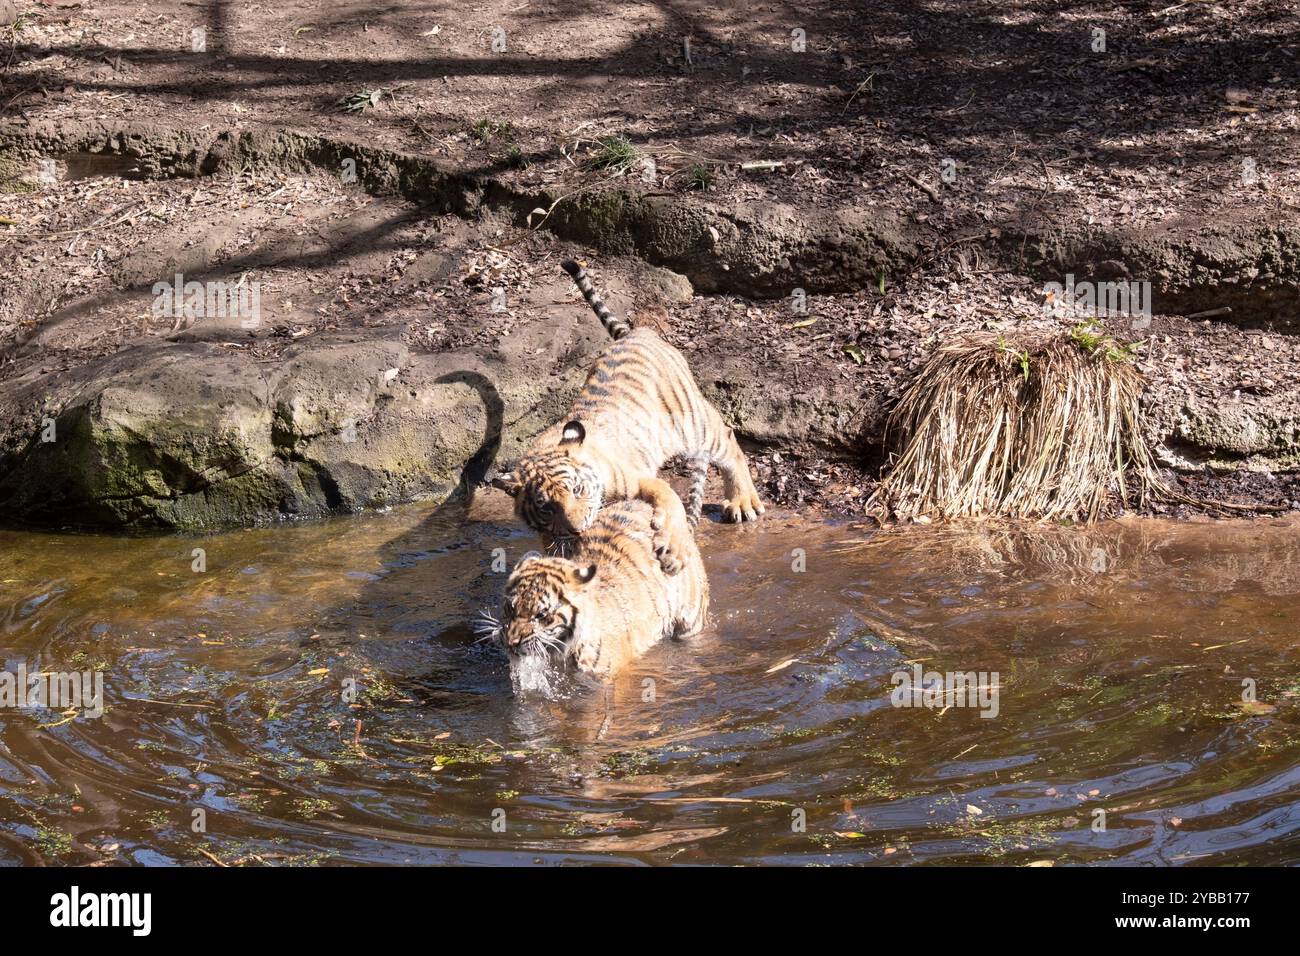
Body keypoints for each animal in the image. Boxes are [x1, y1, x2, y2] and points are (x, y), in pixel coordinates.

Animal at [491, 258, 764, 574]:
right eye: (546, 507)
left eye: (577, 489)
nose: (576, 529)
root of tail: (638, 332)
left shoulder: (638, 479)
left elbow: (670, 499)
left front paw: (674, 551)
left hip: (692, 422)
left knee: (729, 441)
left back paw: (743, 502)